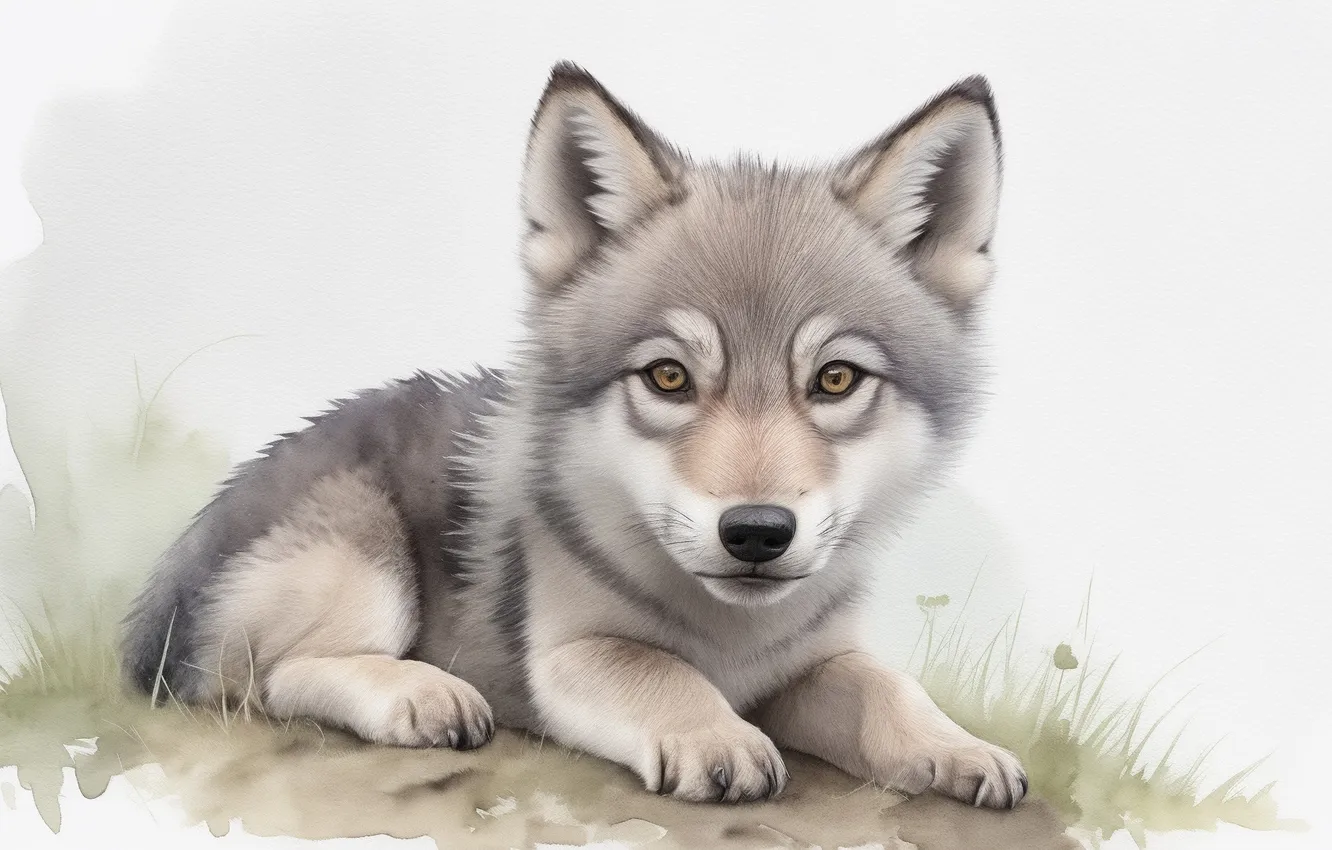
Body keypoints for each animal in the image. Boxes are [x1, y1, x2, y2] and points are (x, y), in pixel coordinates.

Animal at [120, 62, 1027, 808]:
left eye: (835, 380)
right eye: (668, 377)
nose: (757, 532)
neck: (730, 632)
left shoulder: (815, 664)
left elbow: (888, 688)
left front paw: (959, 748)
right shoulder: (571, 653)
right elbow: (659, 669)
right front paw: (716, 734)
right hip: (364, 553)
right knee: (272, 677)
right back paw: (423, 695)